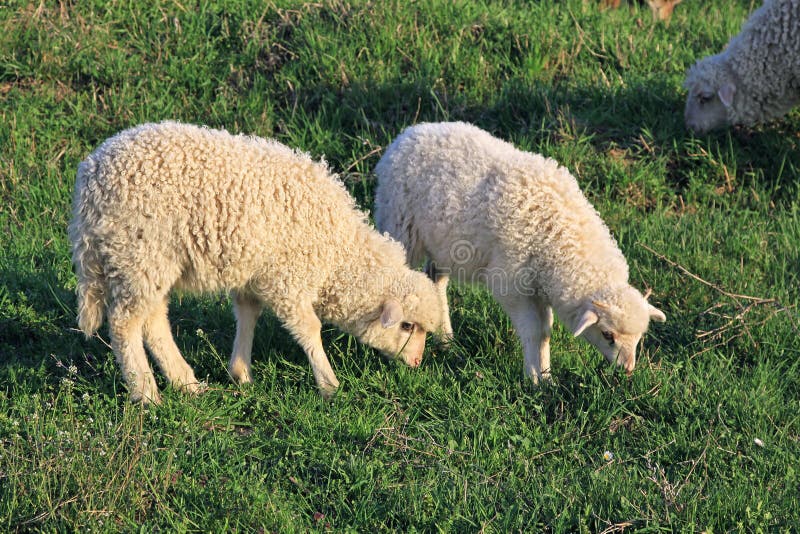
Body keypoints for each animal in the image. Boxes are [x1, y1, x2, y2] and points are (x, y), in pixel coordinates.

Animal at [69, 121, 444, 404]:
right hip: (139, 254)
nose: (417, 361)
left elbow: (247, 315)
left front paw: (241, 373)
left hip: (151, 263)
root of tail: (91, 175)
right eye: (406, 325)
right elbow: (309, 330)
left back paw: (186, 383)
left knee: (154, 320)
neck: (338, 254)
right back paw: (147, 394)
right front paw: (329, 384)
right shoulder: (288, 279)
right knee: (124, 324)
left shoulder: (254, 274)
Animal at [373, 122, 666, 384]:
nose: (627, 370)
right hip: (400, 223)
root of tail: (409, 133)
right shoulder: (512, 285)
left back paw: (445, 340)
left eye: (639, 337)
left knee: (435, 281)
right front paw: (533, 379)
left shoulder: (541, 288)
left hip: (443, 243)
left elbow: (545, 333)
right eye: (607, 334)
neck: (562, 236)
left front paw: (546, 377)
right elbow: (533, 332)